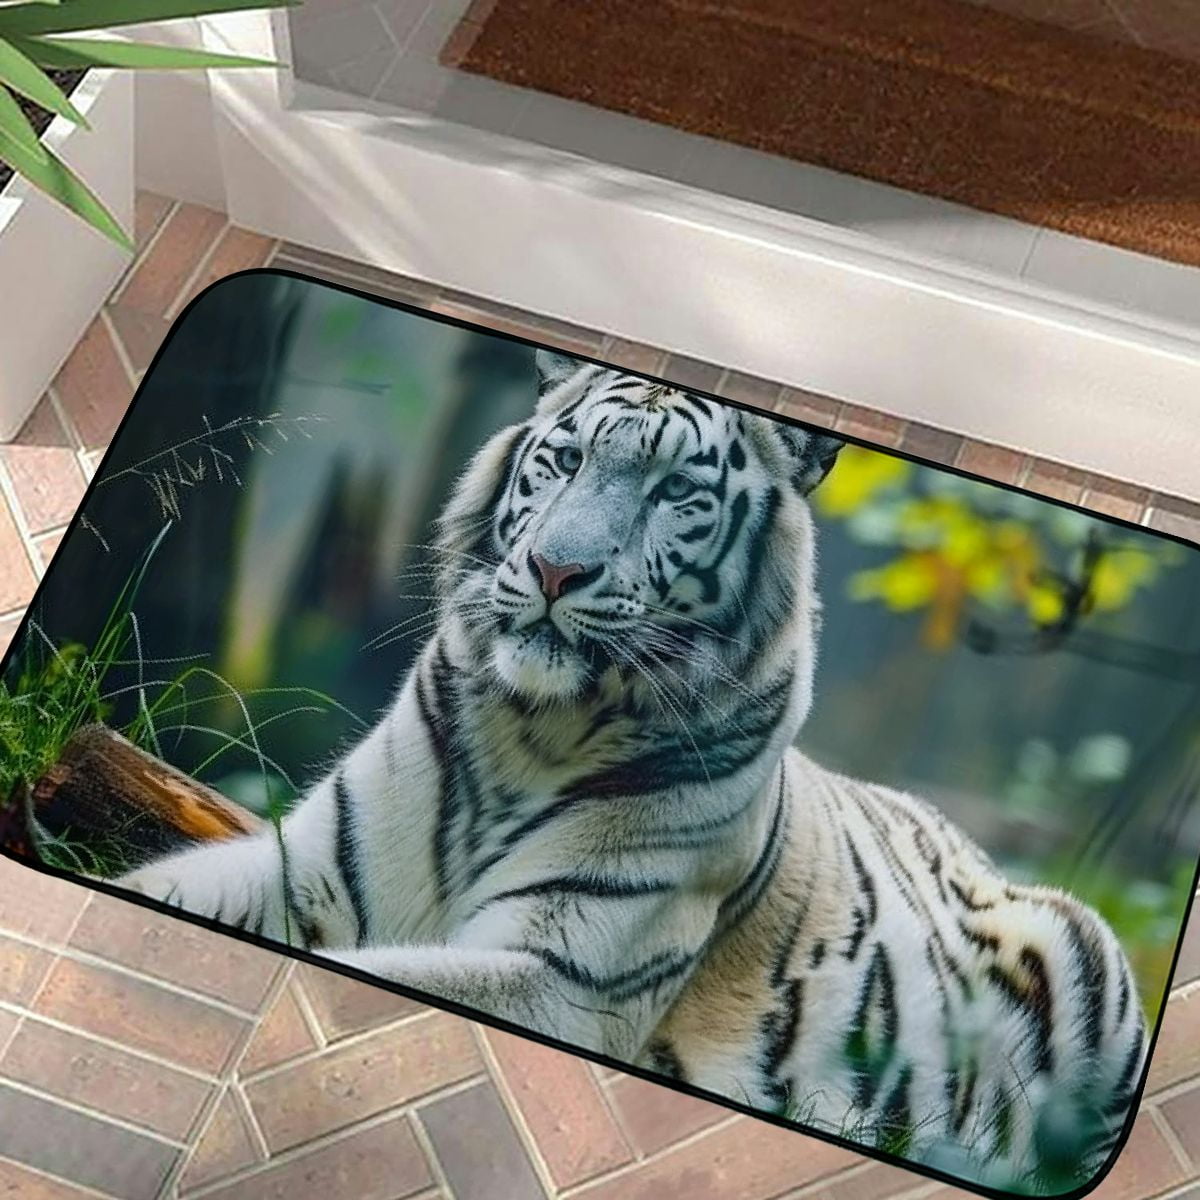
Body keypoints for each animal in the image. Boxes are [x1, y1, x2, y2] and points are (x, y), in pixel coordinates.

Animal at [118, 350, 1146, 1193]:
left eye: (674, 491)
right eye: (567, 461)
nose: (553, 570)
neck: (529, 729)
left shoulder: (561, 976)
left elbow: (381, 968)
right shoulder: (312, 866)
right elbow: (168, 886)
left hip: (1090, 960)